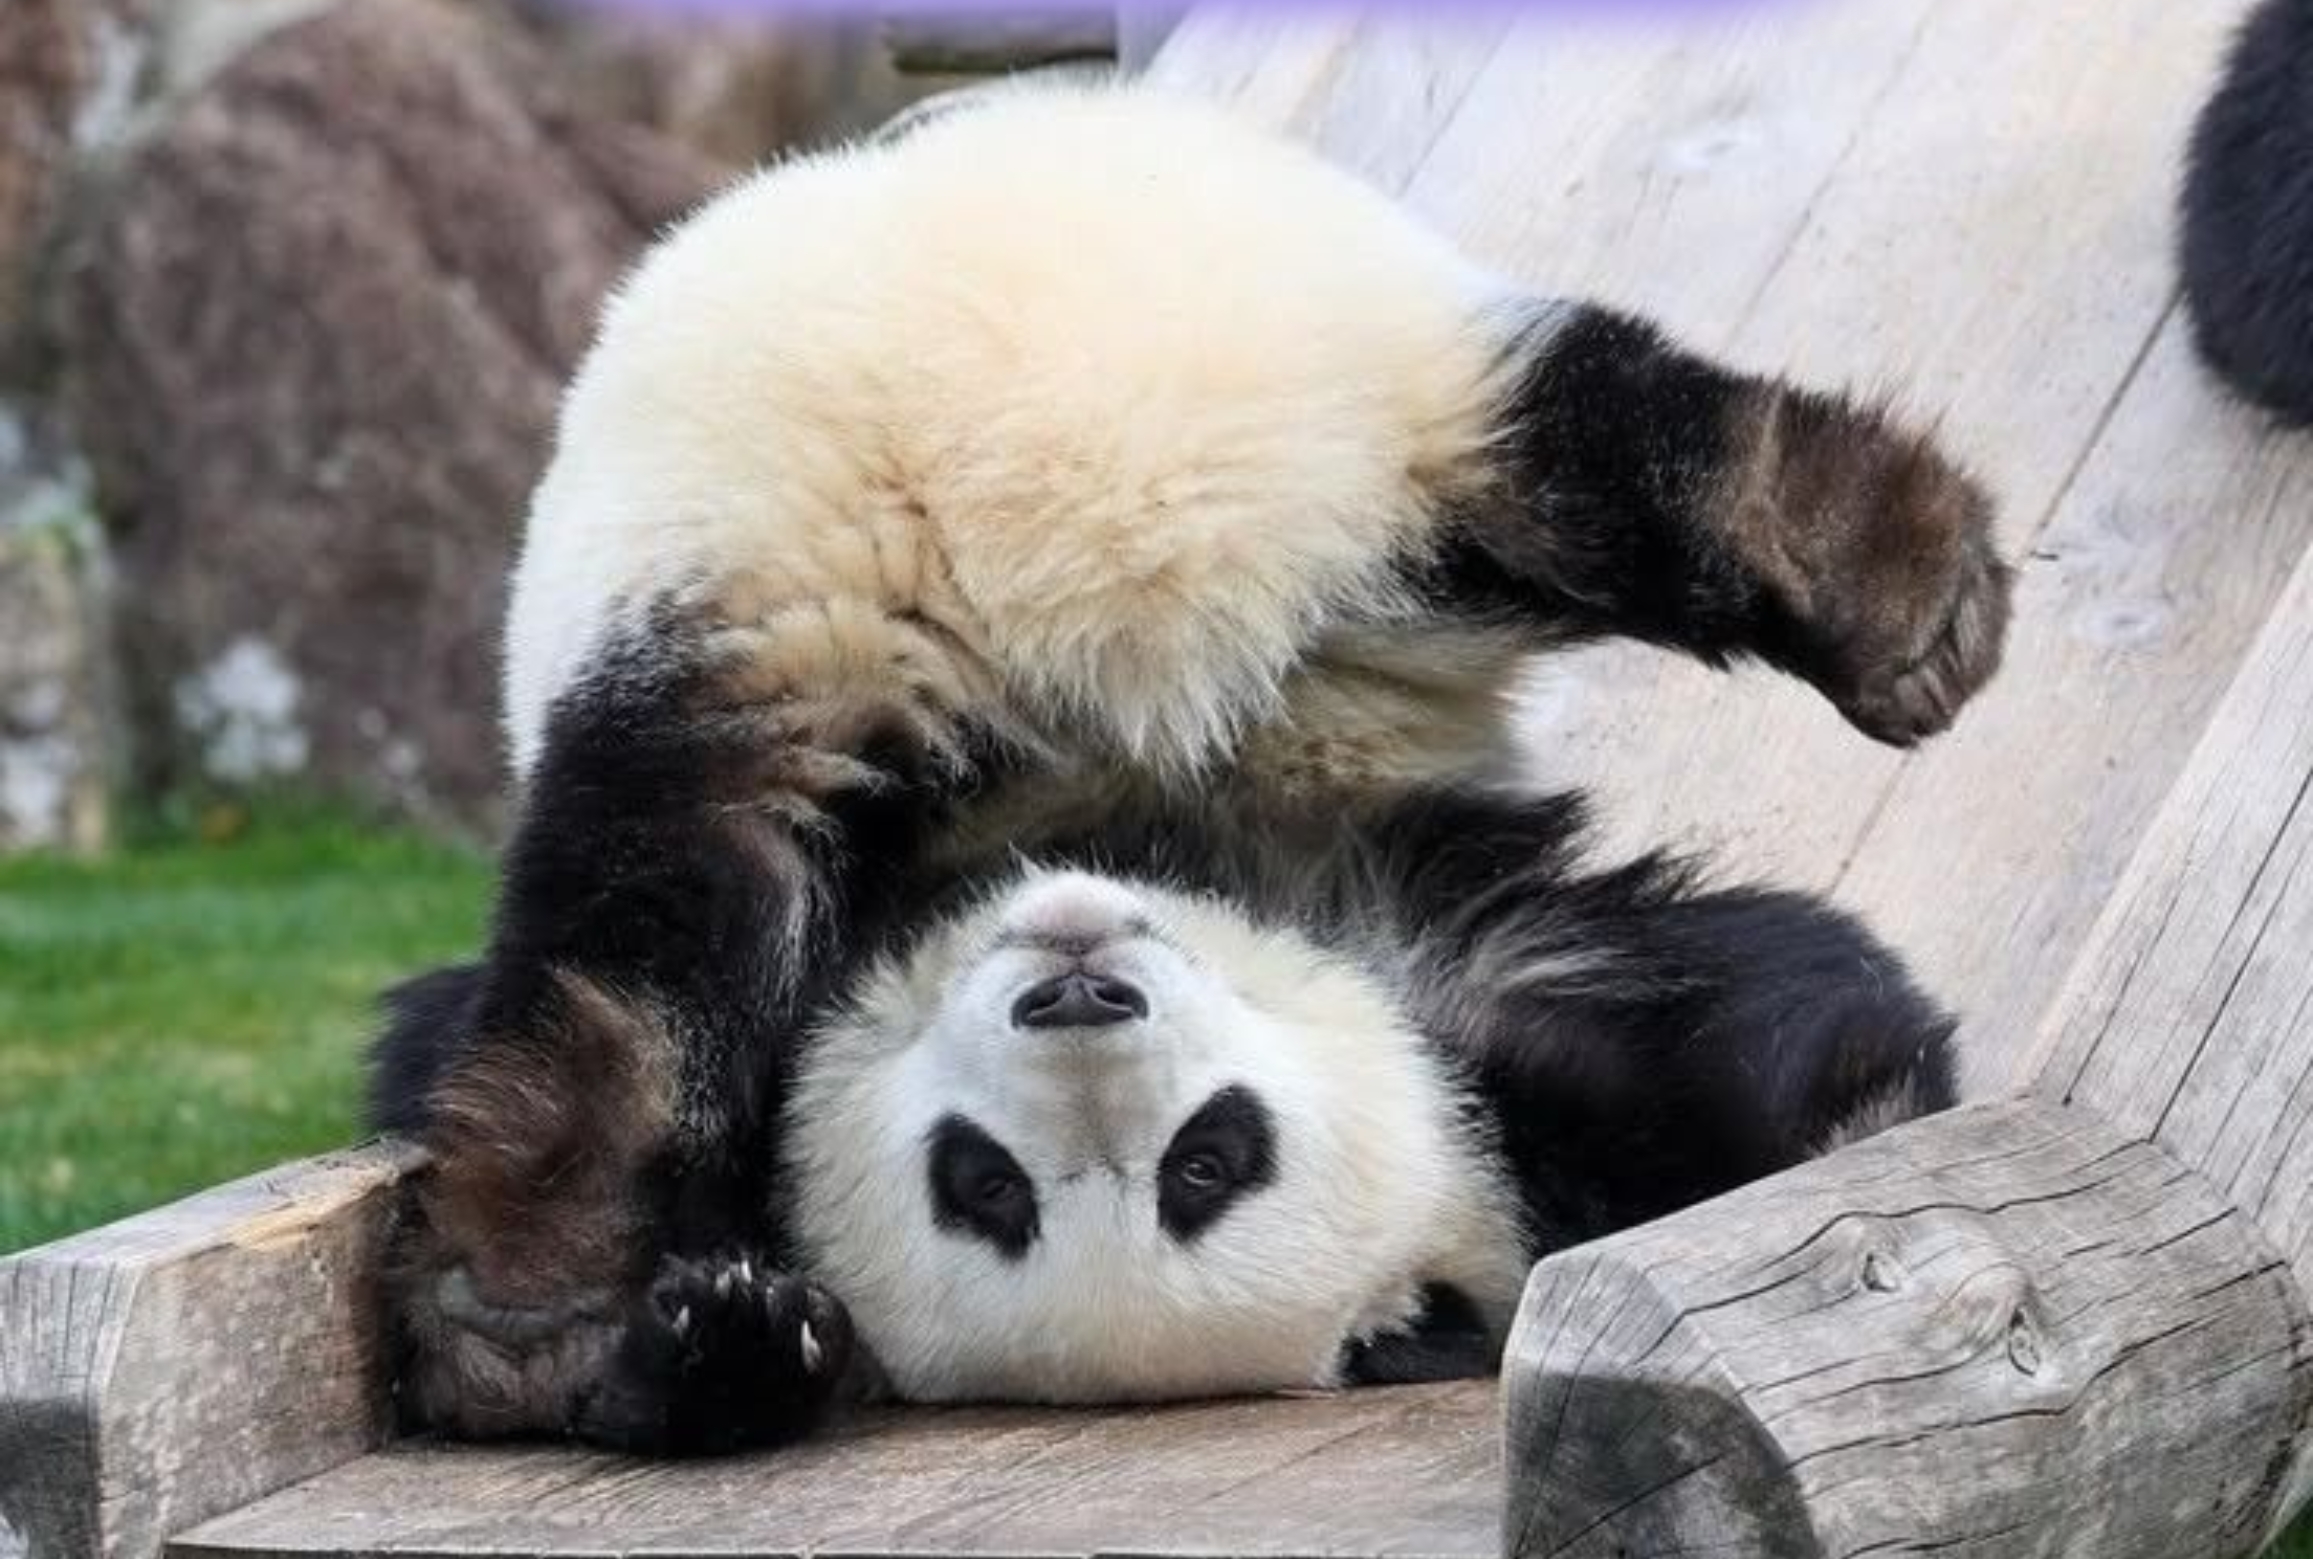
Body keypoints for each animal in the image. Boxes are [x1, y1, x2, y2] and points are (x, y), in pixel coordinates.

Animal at [371, 81, 2008, 1456]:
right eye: (983, 1182)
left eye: (1212, 1155)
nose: (1078, 985)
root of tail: (1085, 519)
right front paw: (728, 1344)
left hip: (1162, 391)